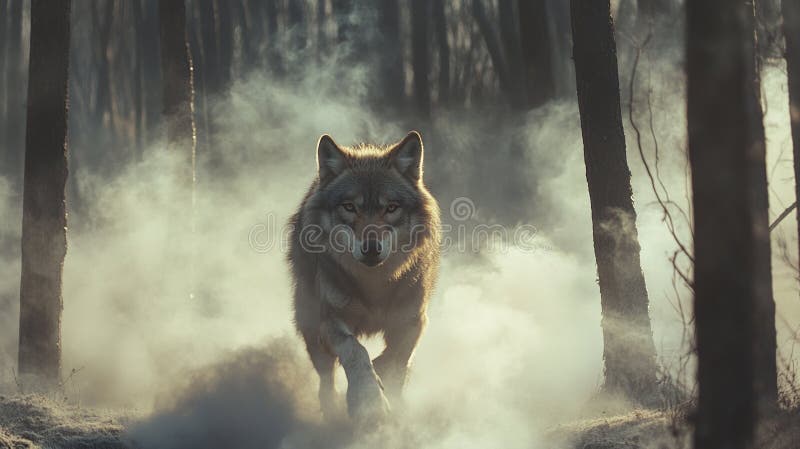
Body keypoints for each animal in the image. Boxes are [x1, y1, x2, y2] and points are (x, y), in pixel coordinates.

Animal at [288, 131, 440, 422]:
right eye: (350, 207)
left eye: (391, 207)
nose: (371, 248)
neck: (374, 285)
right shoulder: (329, 321)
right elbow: (356, 351)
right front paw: (368, 400)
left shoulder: (413, 320)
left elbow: (395, 360)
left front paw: (385, 385)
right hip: (311, 329)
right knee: (326, 380)